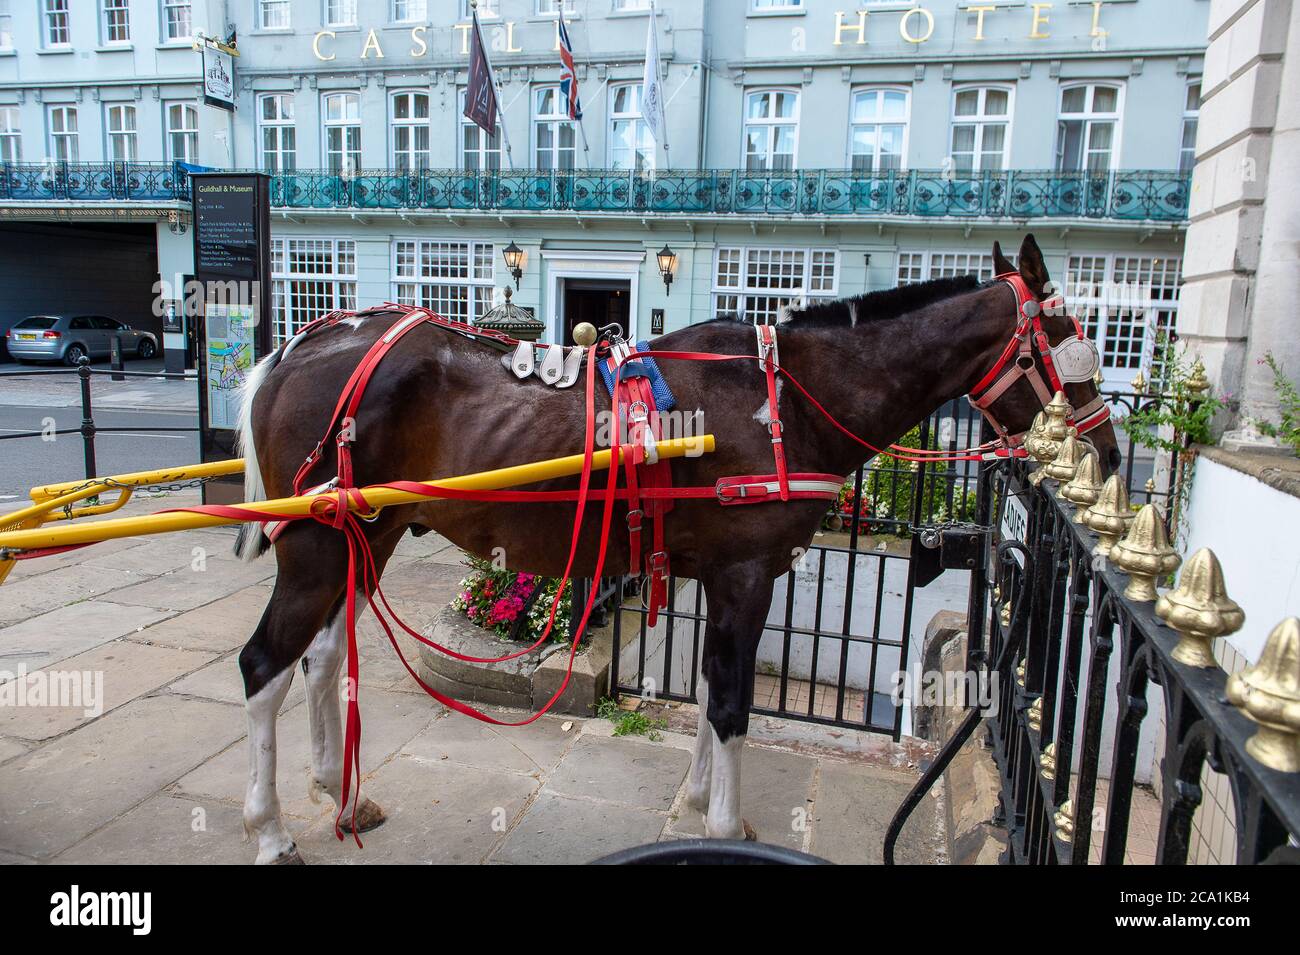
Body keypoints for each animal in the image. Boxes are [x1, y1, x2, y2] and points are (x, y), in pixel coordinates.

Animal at [233, 233, 1120, 864]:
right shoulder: (743, 574)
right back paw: (270, 828)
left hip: (364, 538)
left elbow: (710, 690)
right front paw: (723, 826)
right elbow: (729, 703)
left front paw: (698, 806)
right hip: (319, 548)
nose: (1109, 453)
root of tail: (294, 349)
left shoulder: (723, 577)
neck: (783, 401)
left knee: (318, 659)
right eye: (1071, 337)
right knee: (264, 665)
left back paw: (339, 794)